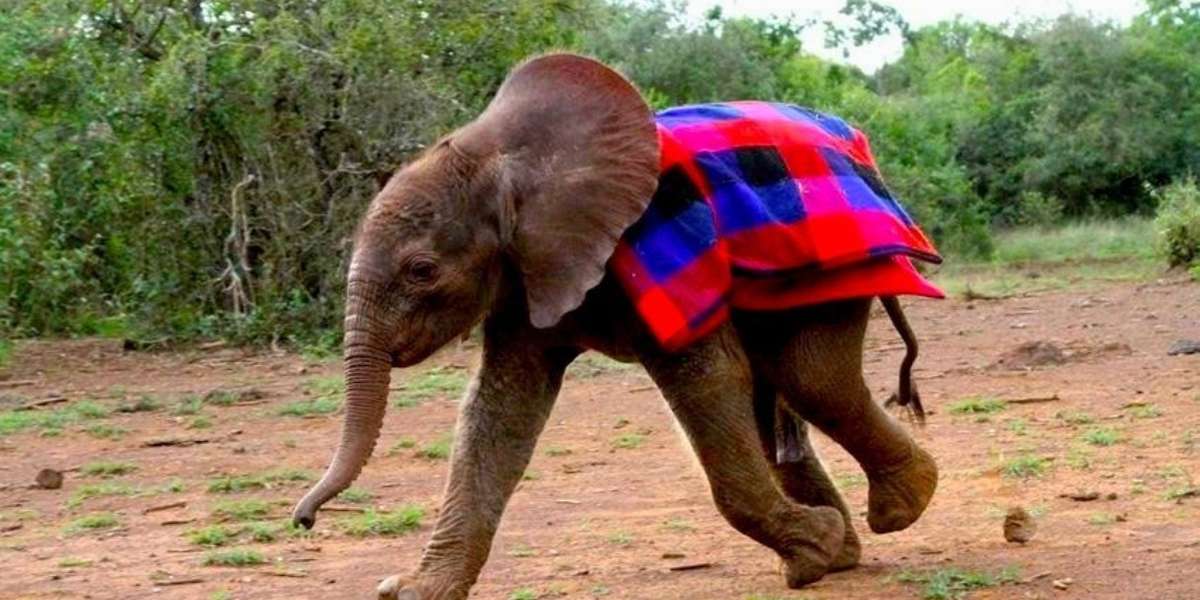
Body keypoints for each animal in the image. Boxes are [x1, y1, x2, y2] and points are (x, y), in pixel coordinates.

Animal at [291, 53, 939, 599]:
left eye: (421, 270)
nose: (305, 520)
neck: (503, 159)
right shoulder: (529, 271)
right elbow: (499, 410)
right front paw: (413, 592)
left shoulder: (661, 252)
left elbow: (706, 380)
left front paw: (812, 550)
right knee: (781, 390)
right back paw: (844, 555)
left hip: (829, 269)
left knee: (809, 378)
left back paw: (897, 510)